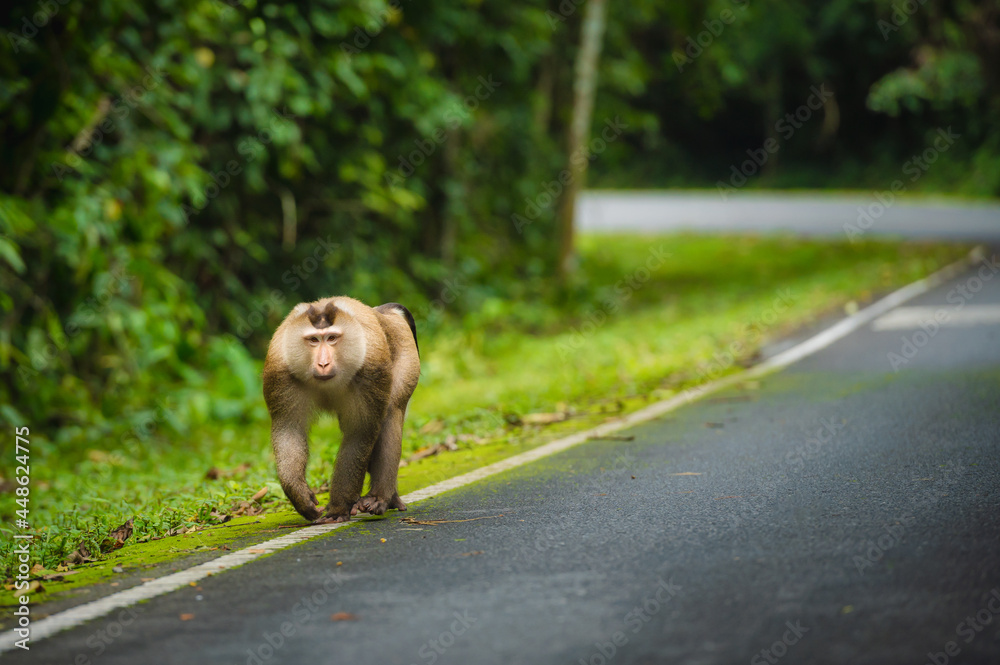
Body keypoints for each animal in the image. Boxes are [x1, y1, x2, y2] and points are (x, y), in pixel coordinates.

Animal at [262, 296, 420, 523]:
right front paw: (299, 495)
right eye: (313, 340)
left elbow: (360, 433)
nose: (323, 363)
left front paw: (338, 508)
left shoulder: (371, 369)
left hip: (405, 351)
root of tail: (385, 312)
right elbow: (289, 430)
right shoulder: (280, 370)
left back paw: (380, 497)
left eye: (332, 338)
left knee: (391, 412)